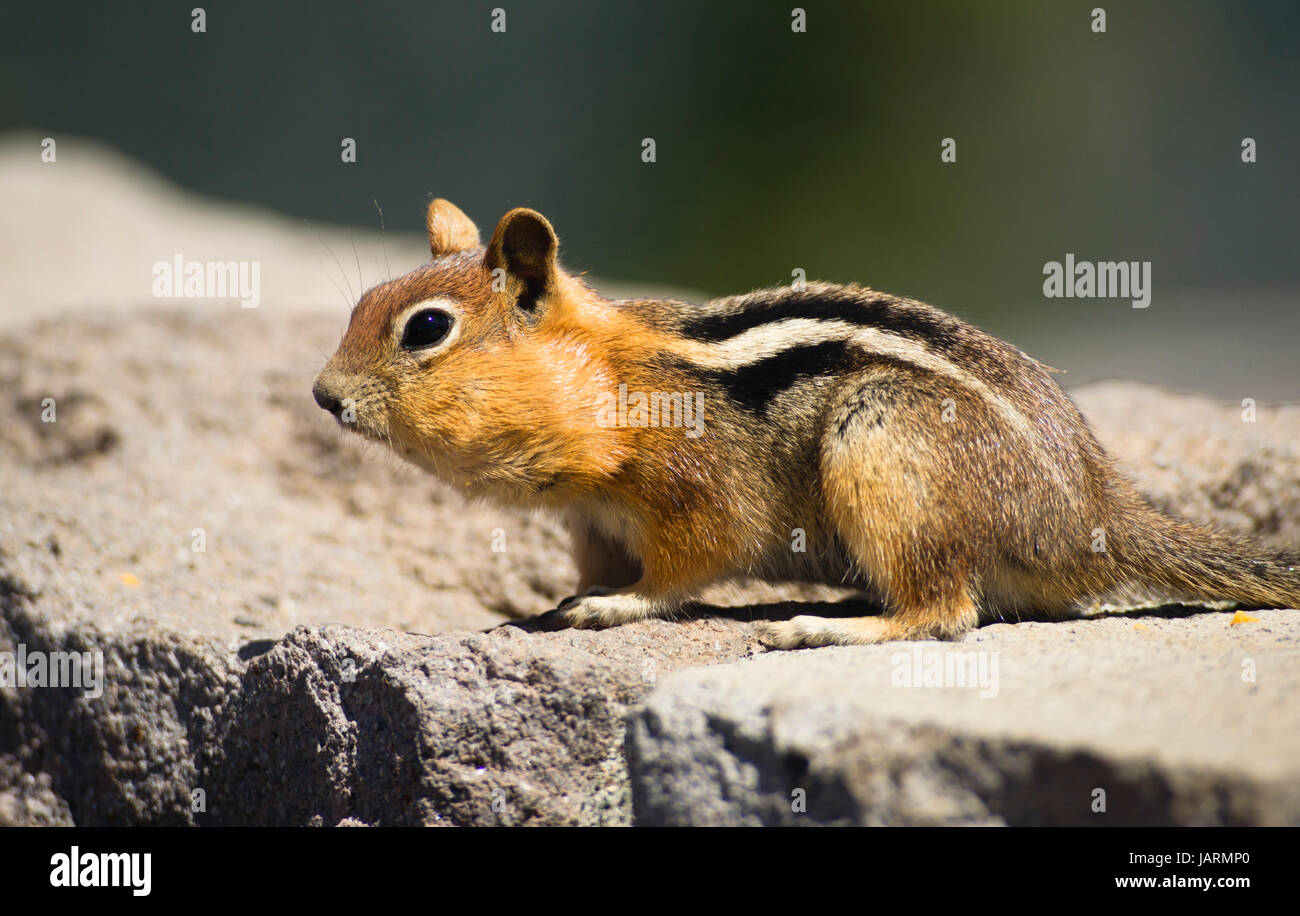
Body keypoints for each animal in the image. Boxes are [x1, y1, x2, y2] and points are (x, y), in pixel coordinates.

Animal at [312, 198, 1300, 649]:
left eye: (426, 329)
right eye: (357, 305)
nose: (324, 396)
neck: (609, 384)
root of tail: (1091, 516)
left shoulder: (692, 495)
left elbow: (685, 568)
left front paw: (617, 607)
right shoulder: (593, 524)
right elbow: (593, 568)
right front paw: (552, 603)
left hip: (882, 438)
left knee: (945, 612)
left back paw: (827, 626)